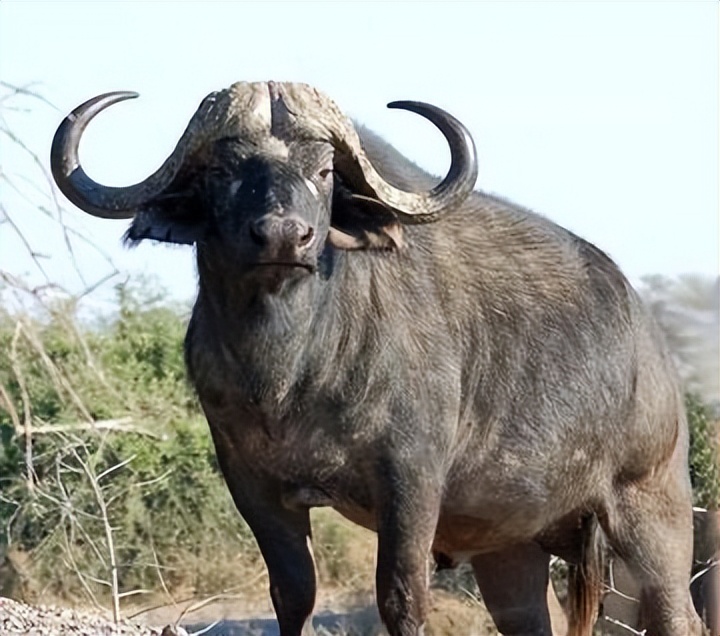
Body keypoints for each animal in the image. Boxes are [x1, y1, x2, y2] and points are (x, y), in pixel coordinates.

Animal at [51, 82, 704, 636]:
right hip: (508, 548)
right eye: (221, 171)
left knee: (677, 615)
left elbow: (401, 597)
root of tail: (650, 342)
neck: (290, 374)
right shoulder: (252, 484)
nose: (283, 236)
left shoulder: (410, 478)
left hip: (653, 509)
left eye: (322, 172)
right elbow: (293, 594)